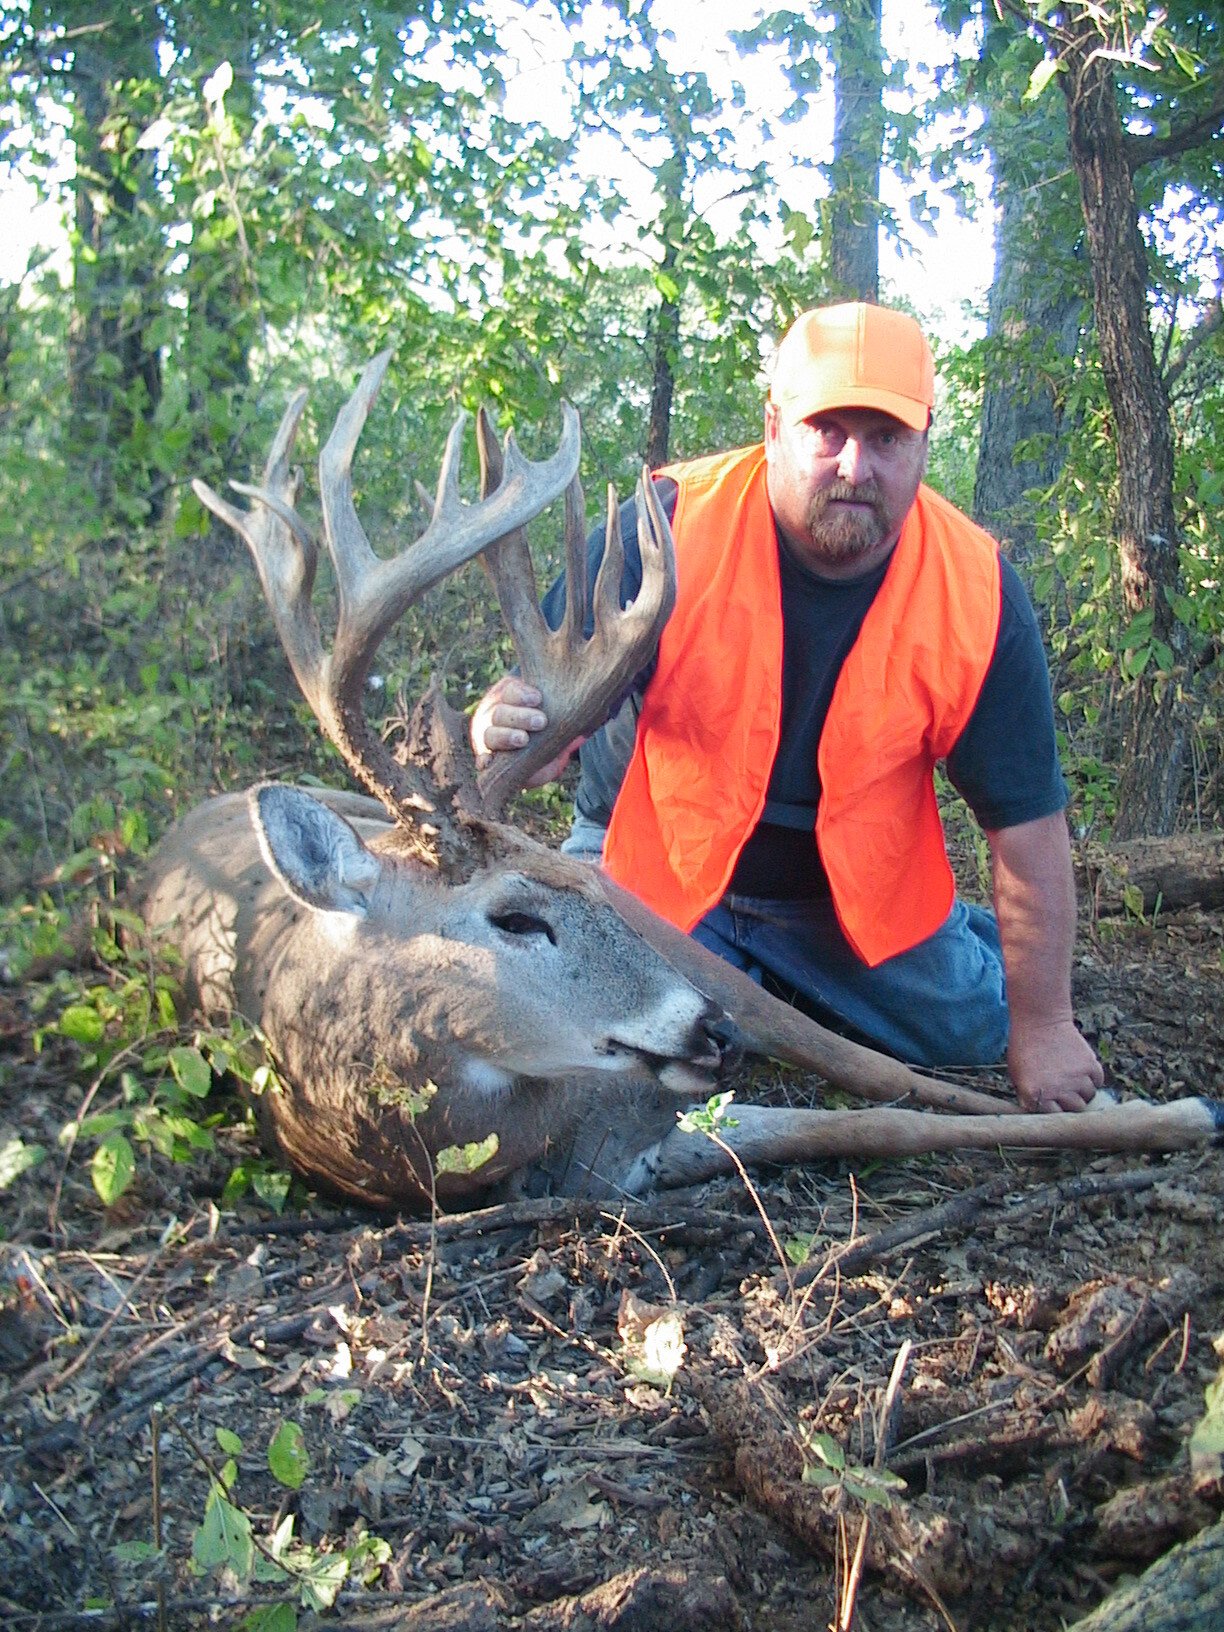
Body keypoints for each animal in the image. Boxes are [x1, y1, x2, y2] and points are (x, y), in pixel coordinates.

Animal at [141, 353, 1223, 1213]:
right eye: (513, 918)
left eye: (573, 897)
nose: (711, 1028)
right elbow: (888, 1122)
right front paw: (1173, 1108)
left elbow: (905, 1100)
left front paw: (1148, 1102)